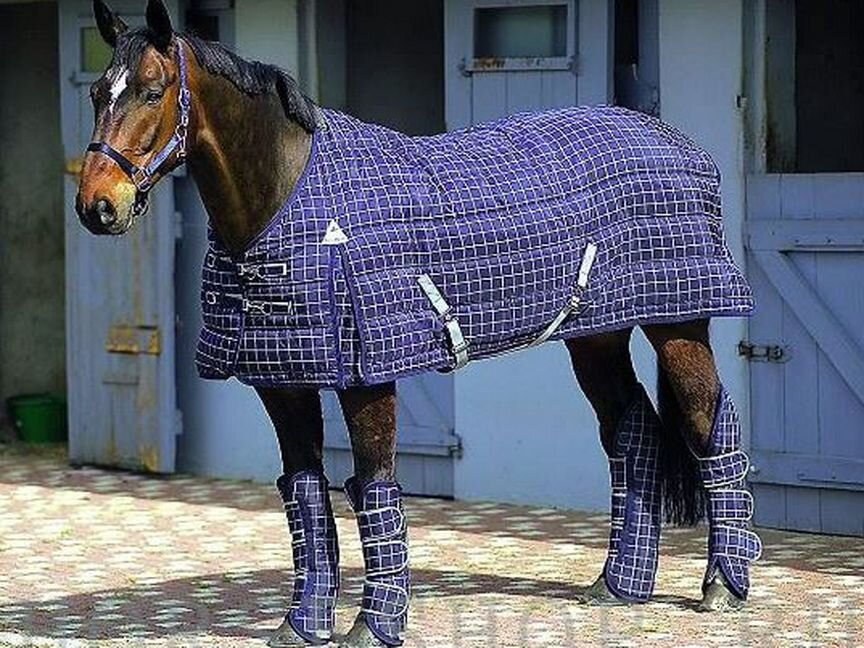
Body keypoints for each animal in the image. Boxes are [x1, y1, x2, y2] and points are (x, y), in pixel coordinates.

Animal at [76, 1, 762, 646]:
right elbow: (304, 488)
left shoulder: (366, 376)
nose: (97, 206)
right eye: (96, 92)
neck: (289, 200)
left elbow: (374, 487)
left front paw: (372, 626)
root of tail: (678, 141)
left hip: (678, 323)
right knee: (631, 429)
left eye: (152, 90)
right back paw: (617, 587)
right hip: (597, 334)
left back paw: (722, 587)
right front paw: (302, 625)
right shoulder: (284, 376)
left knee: (707, 421)